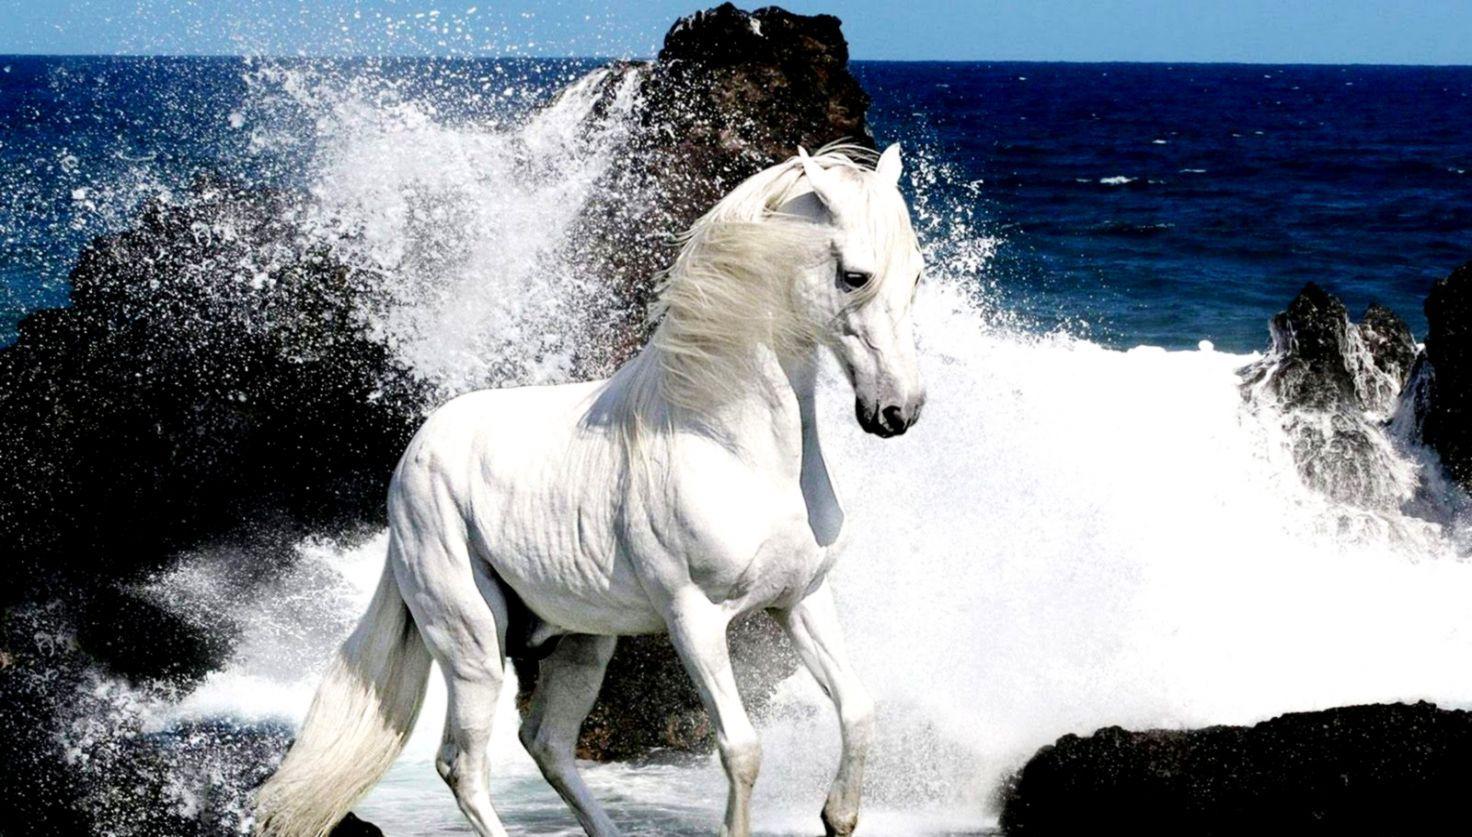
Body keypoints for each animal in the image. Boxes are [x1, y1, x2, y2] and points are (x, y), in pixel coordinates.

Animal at [253, 142, 927, 837]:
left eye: (918, 276)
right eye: (855, 276)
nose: (896, 412)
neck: (729, 444)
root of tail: (412, 458)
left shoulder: (800, 600)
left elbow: (858, 710)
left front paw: (837, 815)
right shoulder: (694, 619)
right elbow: (741, 750)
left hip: (581, 643)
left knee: (546, 743)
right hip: (471, 645)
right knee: (462, 766)